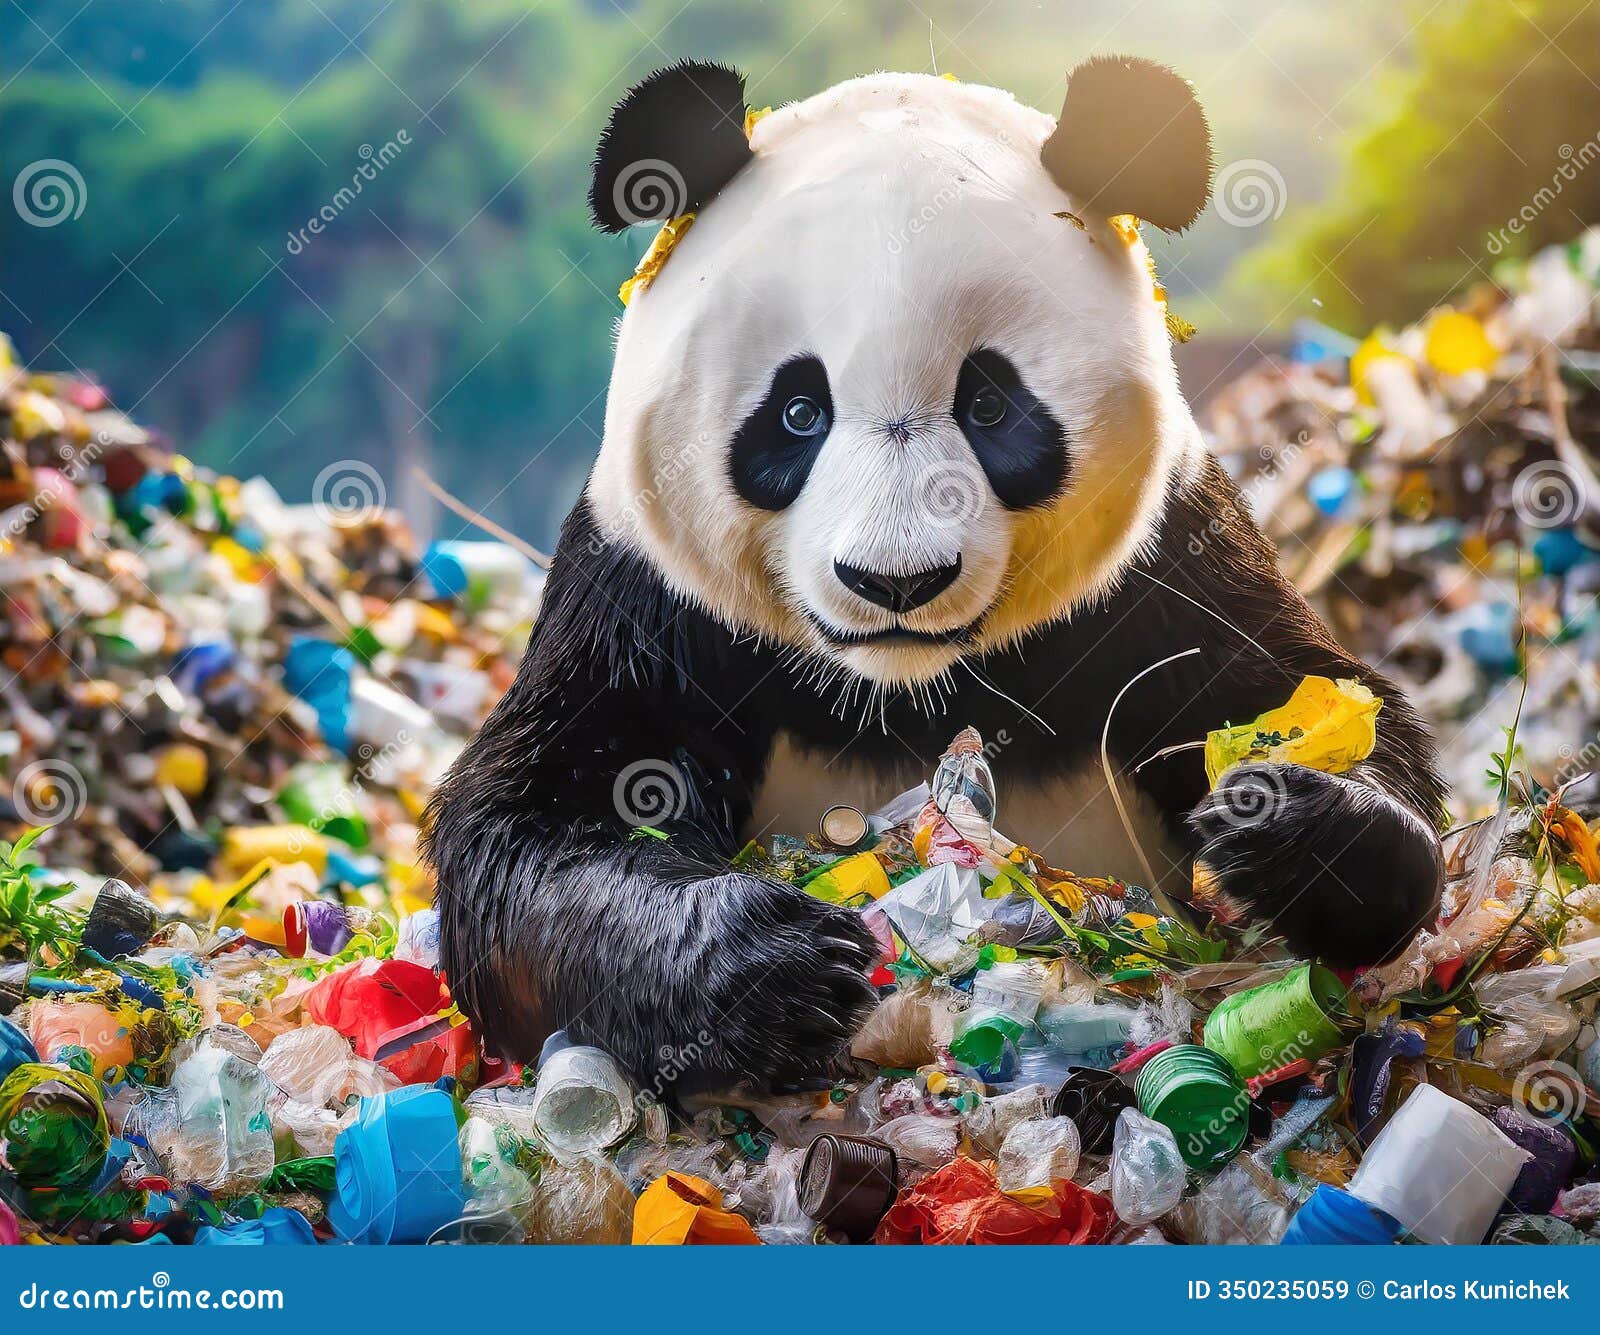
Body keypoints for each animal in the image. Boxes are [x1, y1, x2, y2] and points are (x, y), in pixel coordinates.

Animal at [424, 55, 1445, 1091]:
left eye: (991, 404)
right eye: (798, 412)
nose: (896, 581)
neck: (903, 694)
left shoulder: (1171, 563)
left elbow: (1305, 695)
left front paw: (1285, 827)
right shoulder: (645, 597)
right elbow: (538, 822)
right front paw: (776, 969)